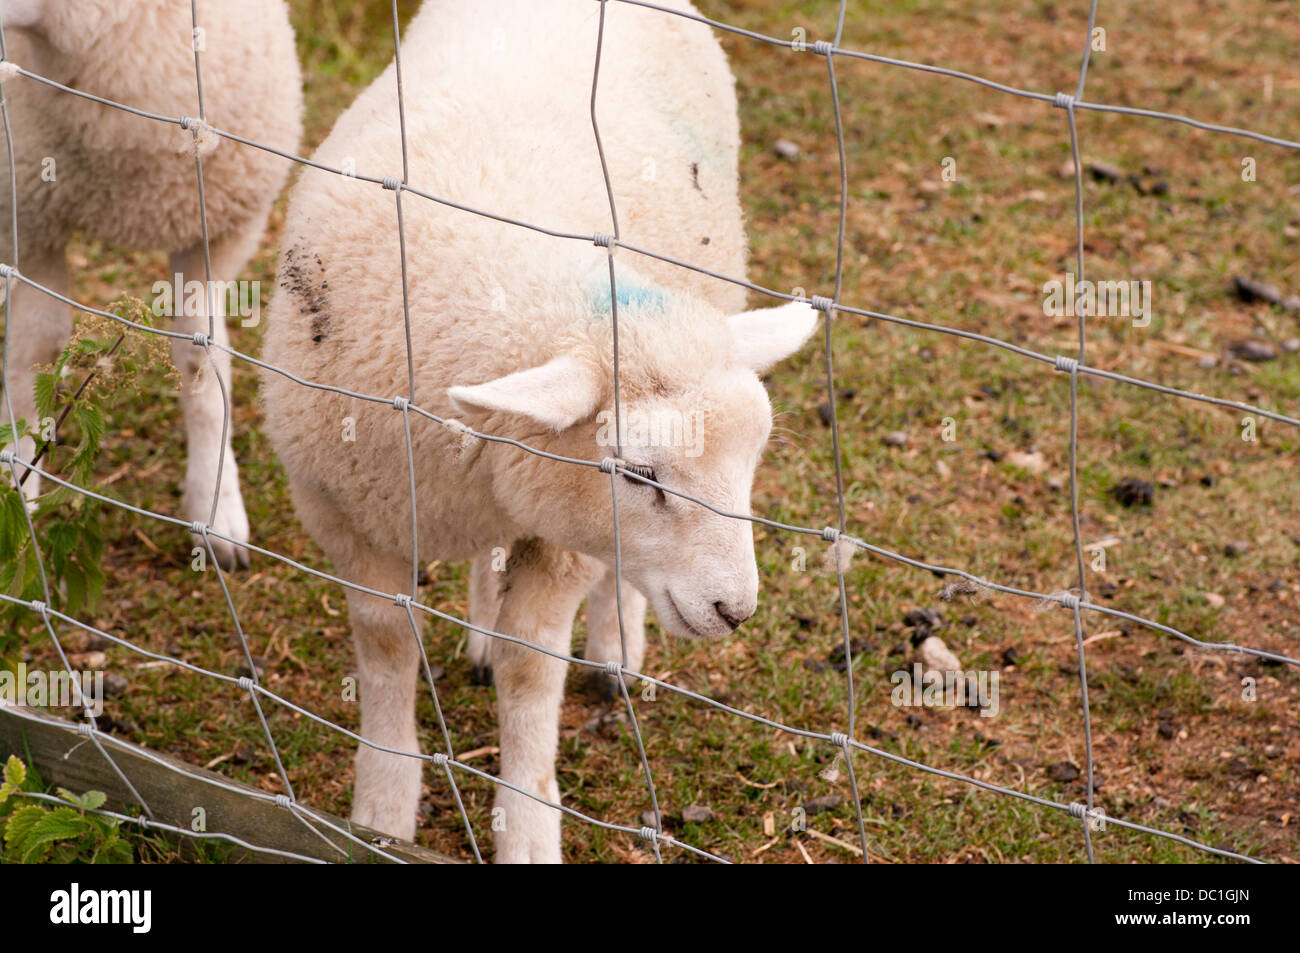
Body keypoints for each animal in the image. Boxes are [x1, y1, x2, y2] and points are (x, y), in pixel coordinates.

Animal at [0, 0, 303, 570]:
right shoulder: (29, 213)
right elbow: (36, 349)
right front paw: (20, 484)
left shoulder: (217, 229)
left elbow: (201, 359)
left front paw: (215, 509)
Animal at [261, 0, 819, 863]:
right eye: (638, 473)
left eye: (753, 458)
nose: (736, 609)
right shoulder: (342, 509)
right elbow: (386, 643)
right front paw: (381, 807)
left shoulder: (561, 534)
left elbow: (532, 667)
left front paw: (525, 824)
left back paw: (615, 644)